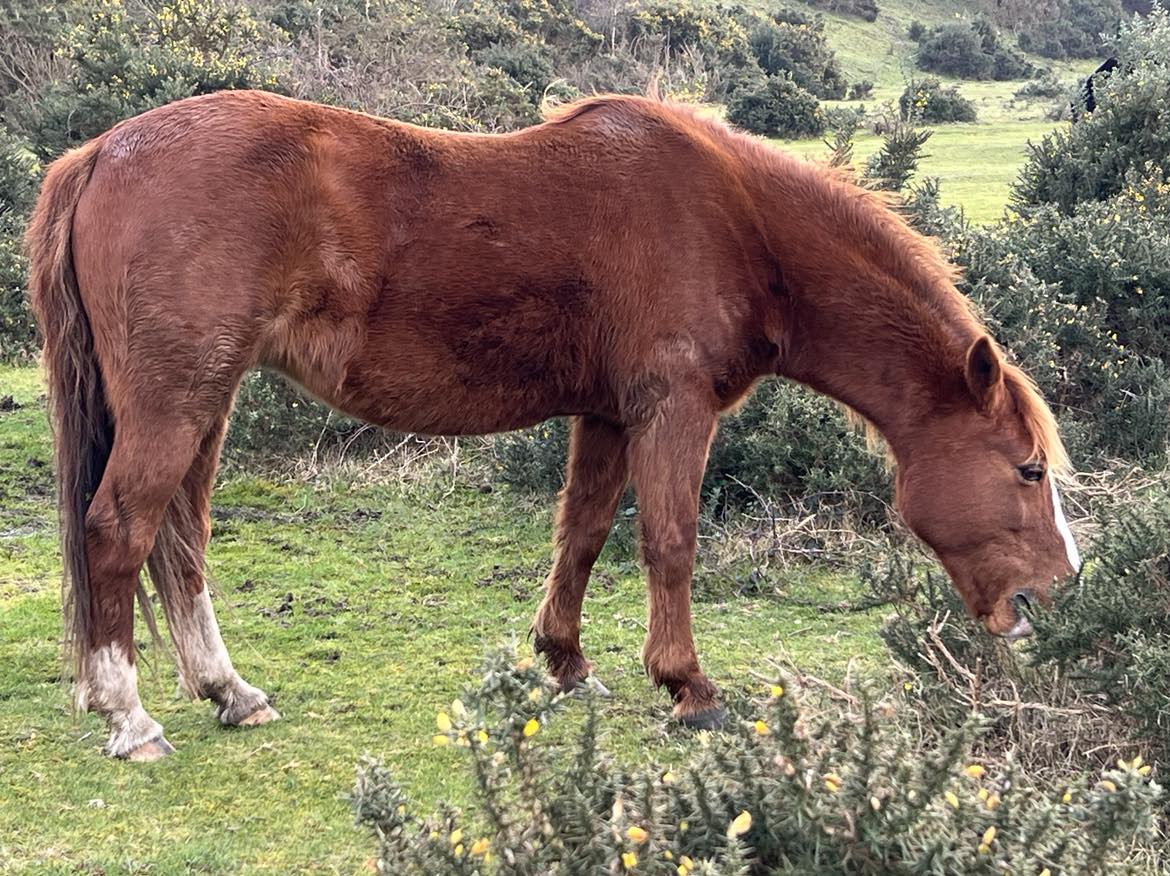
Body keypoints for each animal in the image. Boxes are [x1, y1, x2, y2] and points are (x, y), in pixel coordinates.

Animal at [26, 90, 1081, 761]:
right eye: (1029, 470)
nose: (1058, 594)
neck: (738, 223)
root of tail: (99, 153)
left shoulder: (609, 414)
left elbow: (580, 534)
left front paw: (567, 665)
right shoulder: (673, 409)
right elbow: (669, 542)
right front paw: (689, 689)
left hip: (205, 403)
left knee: (180, 543)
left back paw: (229, 693)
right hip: (176, 402)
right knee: (120, 532)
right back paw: (130, 717)